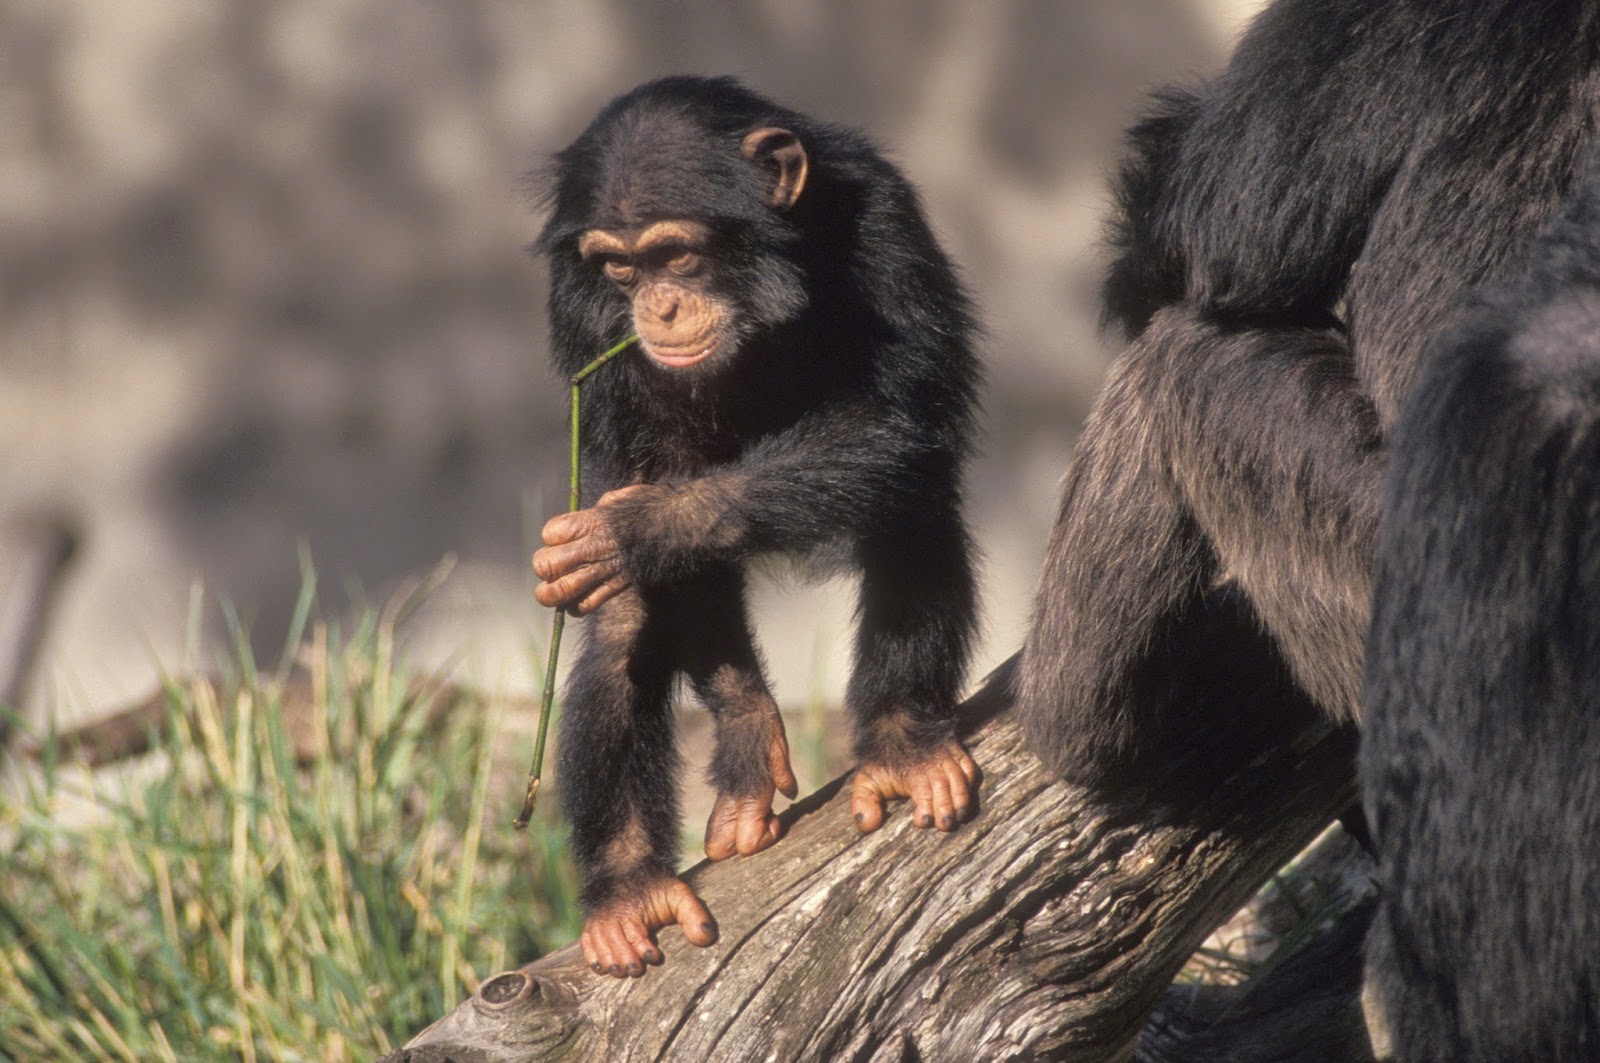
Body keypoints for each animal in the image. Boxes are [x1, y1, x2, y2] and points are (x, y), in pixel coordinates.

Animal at [529, 77, 981, 978]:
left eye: (676, 255)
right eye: (619, 267)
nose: (660, 304)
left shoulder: (886, 220)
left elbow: (899, 417)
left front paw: (630, 530)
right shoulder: (583, 313)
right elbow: (663, 521)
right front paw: (743, 734)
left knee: (913, 500)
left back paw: (904, 743)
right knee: (626, 621)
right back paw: (629, 887)